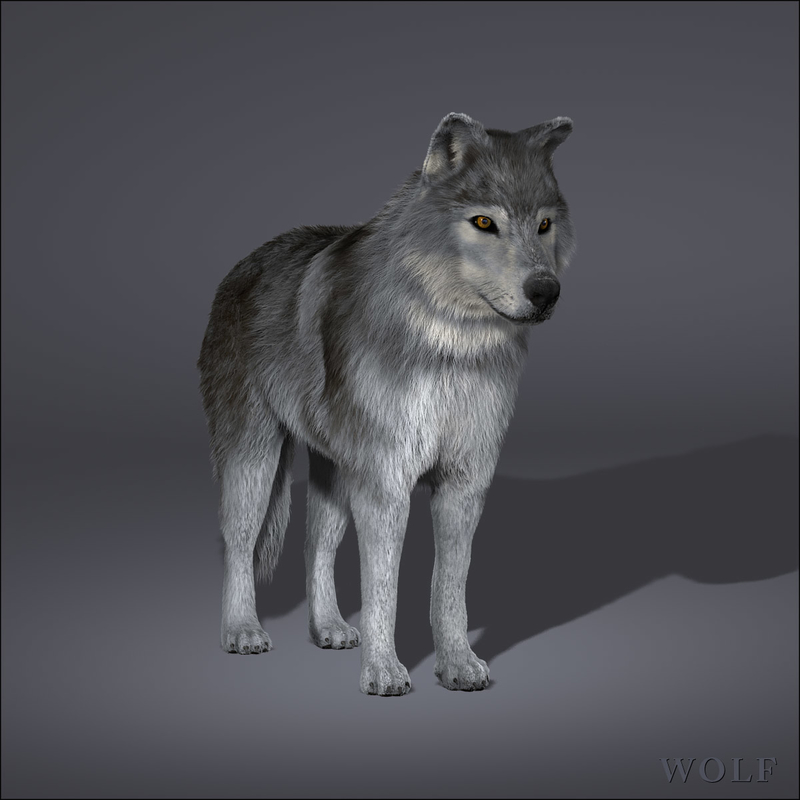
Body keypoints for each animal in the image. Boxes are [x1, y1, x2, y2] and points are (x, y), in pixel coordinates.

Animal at [198, 112, 576, 695]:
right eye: (484, 222)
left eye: (543, 225)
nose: (546, 292)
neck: (448, 346)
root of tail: (242, 265)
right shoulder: (386, 484)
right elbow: (383, 589)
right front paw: (383, 672)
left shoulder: (464, 485)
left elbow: (449, 587)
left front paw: (458, 665)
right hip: (254, 460)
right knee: (238, 543)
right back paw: (242, 631)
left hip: (334, 473)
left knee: (315, 546)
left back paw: (329, 628)